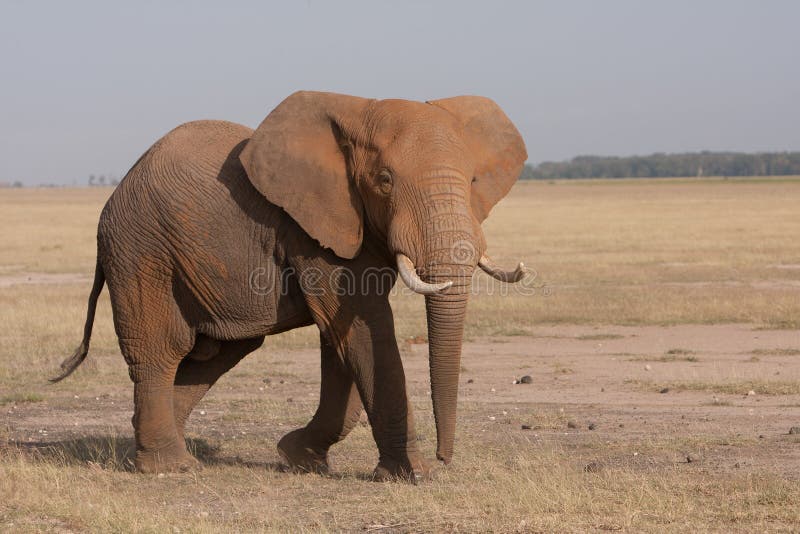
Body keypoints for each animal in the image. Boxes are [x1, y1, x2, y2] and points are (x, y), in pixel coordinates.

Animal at [52, 91, 528, 480]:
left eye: (472, 182)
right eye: (385, 181)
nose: (446, 459)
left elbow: (343, 340)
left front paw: (299, 458)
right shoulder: (310, 230)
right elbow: (365, 330)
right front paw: (413, 474)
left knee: (218, 353)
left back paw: (159, 453)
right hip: (141, 250)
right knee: (160, 350)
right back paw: (170, 467)